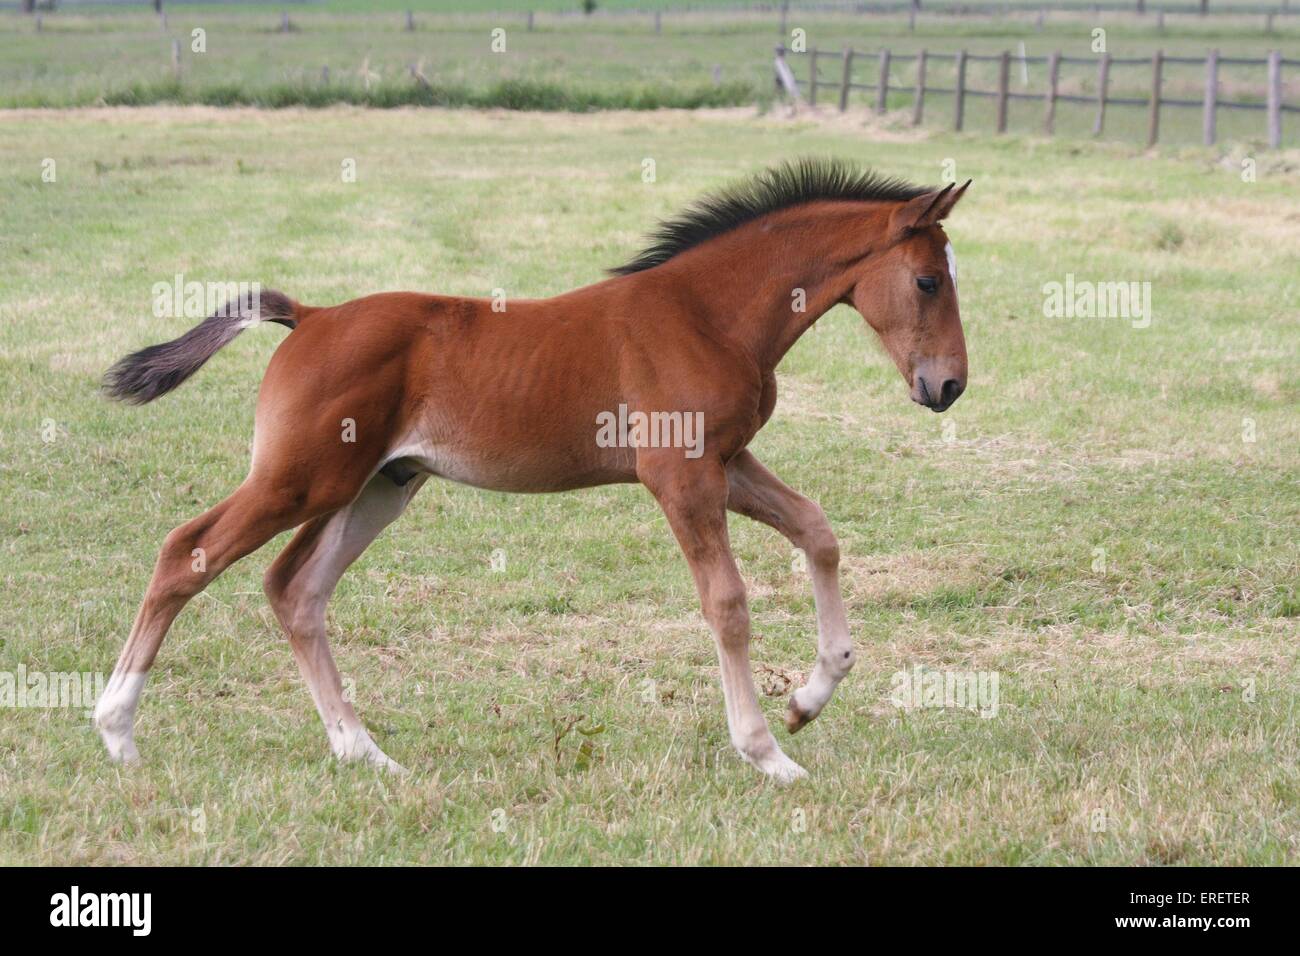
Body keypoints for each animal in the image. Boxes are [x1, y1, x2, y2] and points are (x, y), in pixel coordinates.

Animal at [95, 159, 970, 783]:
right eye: (928, 280)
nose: (949, 387)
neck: (707, 316)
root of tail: (310, 317)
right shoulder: (681, 476)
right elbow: (727, 603)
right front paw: (768, 753)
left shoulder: (727, 461)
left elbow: (817, 530)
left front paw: (809, 700)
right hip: (300, 479)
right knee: (186, 552)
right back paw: (117, 731)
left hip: (377, 485)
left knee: (294, 588)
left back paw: (363, 751)